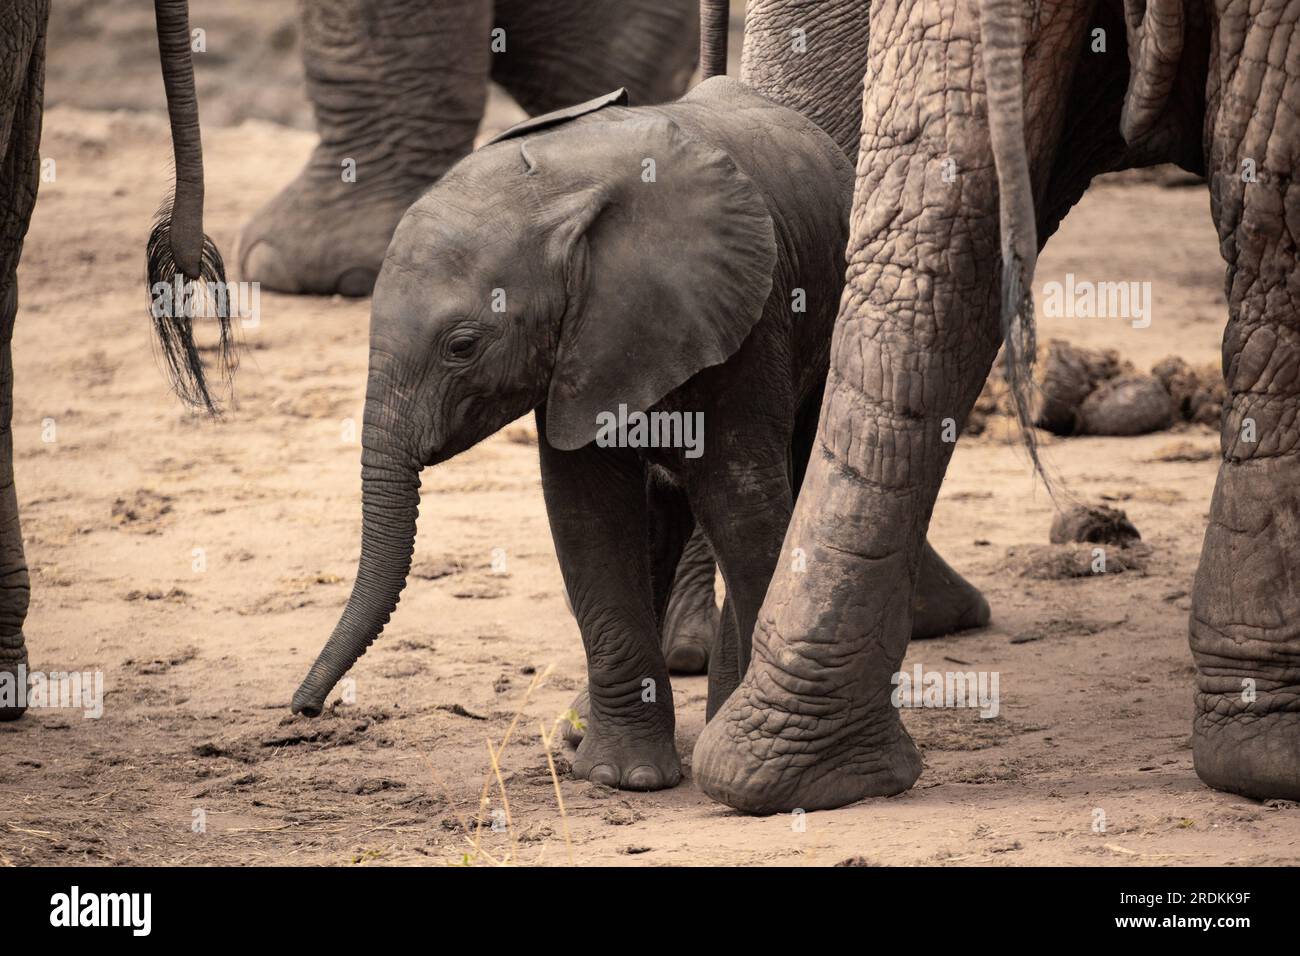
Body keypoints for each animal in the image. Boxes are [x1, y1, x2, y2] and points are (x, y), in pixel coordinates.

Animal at [288, 69, 991, 790]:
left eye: (462, 346)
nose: (306, 710)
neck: (558, 203)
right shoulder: (578, 352)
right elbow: (589, 516)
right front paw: (621, 776)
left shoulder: (741, 316)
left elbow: (743, 506)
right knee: (664, 509)